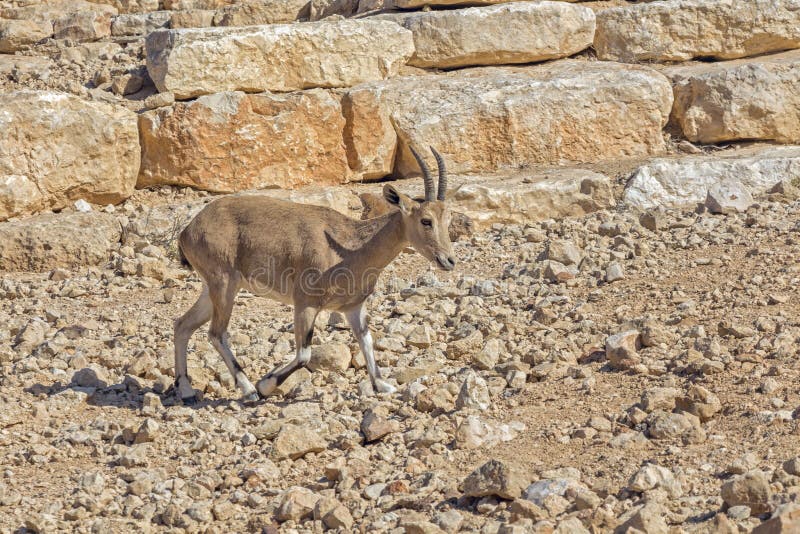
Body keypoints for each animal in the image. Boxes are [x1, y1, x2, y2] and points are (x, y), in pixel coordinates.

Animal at [171, 146, 456, 404]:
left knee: (183, 325)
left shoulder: (353, 307)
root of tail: (188, 230)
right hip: (224, 284)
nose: (448, 260)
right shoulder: (305, 303)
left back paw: (186, 391)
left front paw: (382, 385)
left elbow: (366, 340)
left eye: (447, 219)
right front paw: (265, 385)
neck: (352, 247)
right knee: (216, 333)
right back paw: (249, 390)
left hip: (212, 288)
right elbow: (304, 355)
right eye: (426, 220)